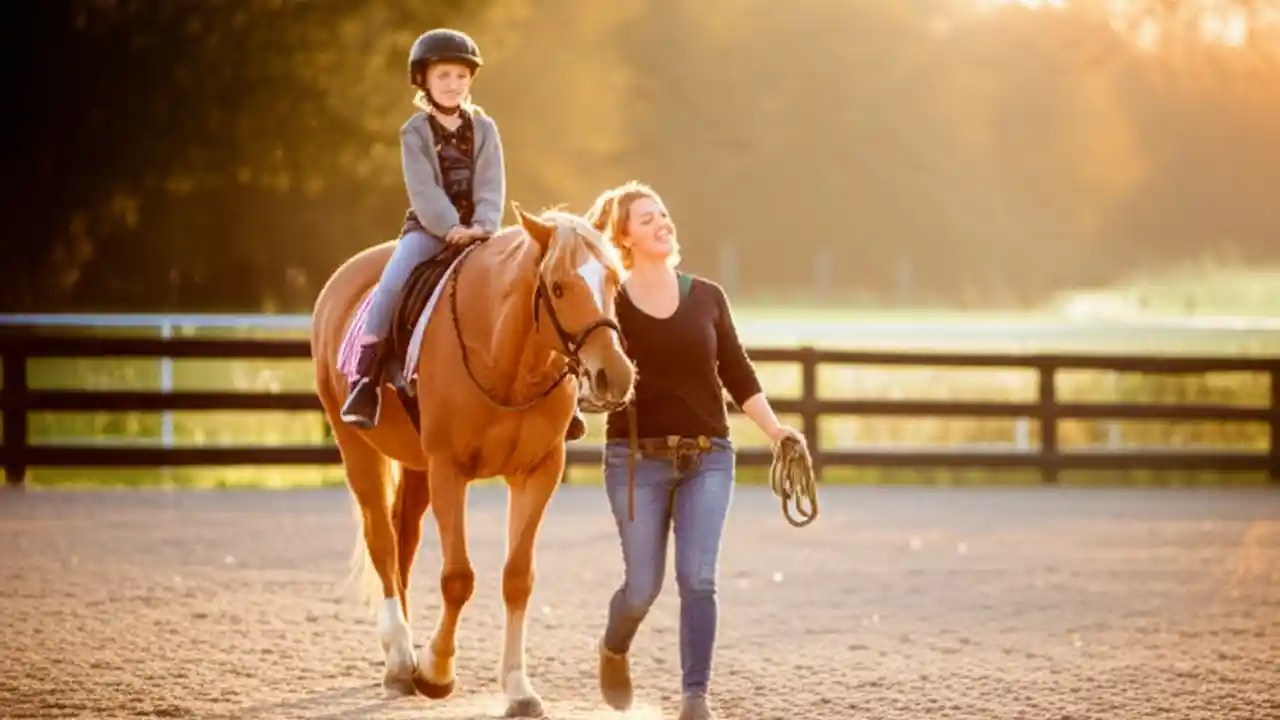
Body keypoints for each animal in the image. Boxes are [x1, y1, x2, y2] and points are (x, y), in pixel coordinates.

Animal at [310, 206, 635, 716]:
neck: (504, 357)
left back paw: (402, 656)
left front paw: (518, 688)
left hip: (416, 468)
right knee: (382, 541)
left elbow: (518, 578)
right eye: (558, 287)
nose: (614, 376)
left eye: (615, 282)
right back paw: (401, 658)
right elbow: (458, 578)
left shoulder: (538, 472)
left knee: (403, 542)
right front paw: (437, 671)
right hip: (357, 448)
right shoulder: (449, 470)